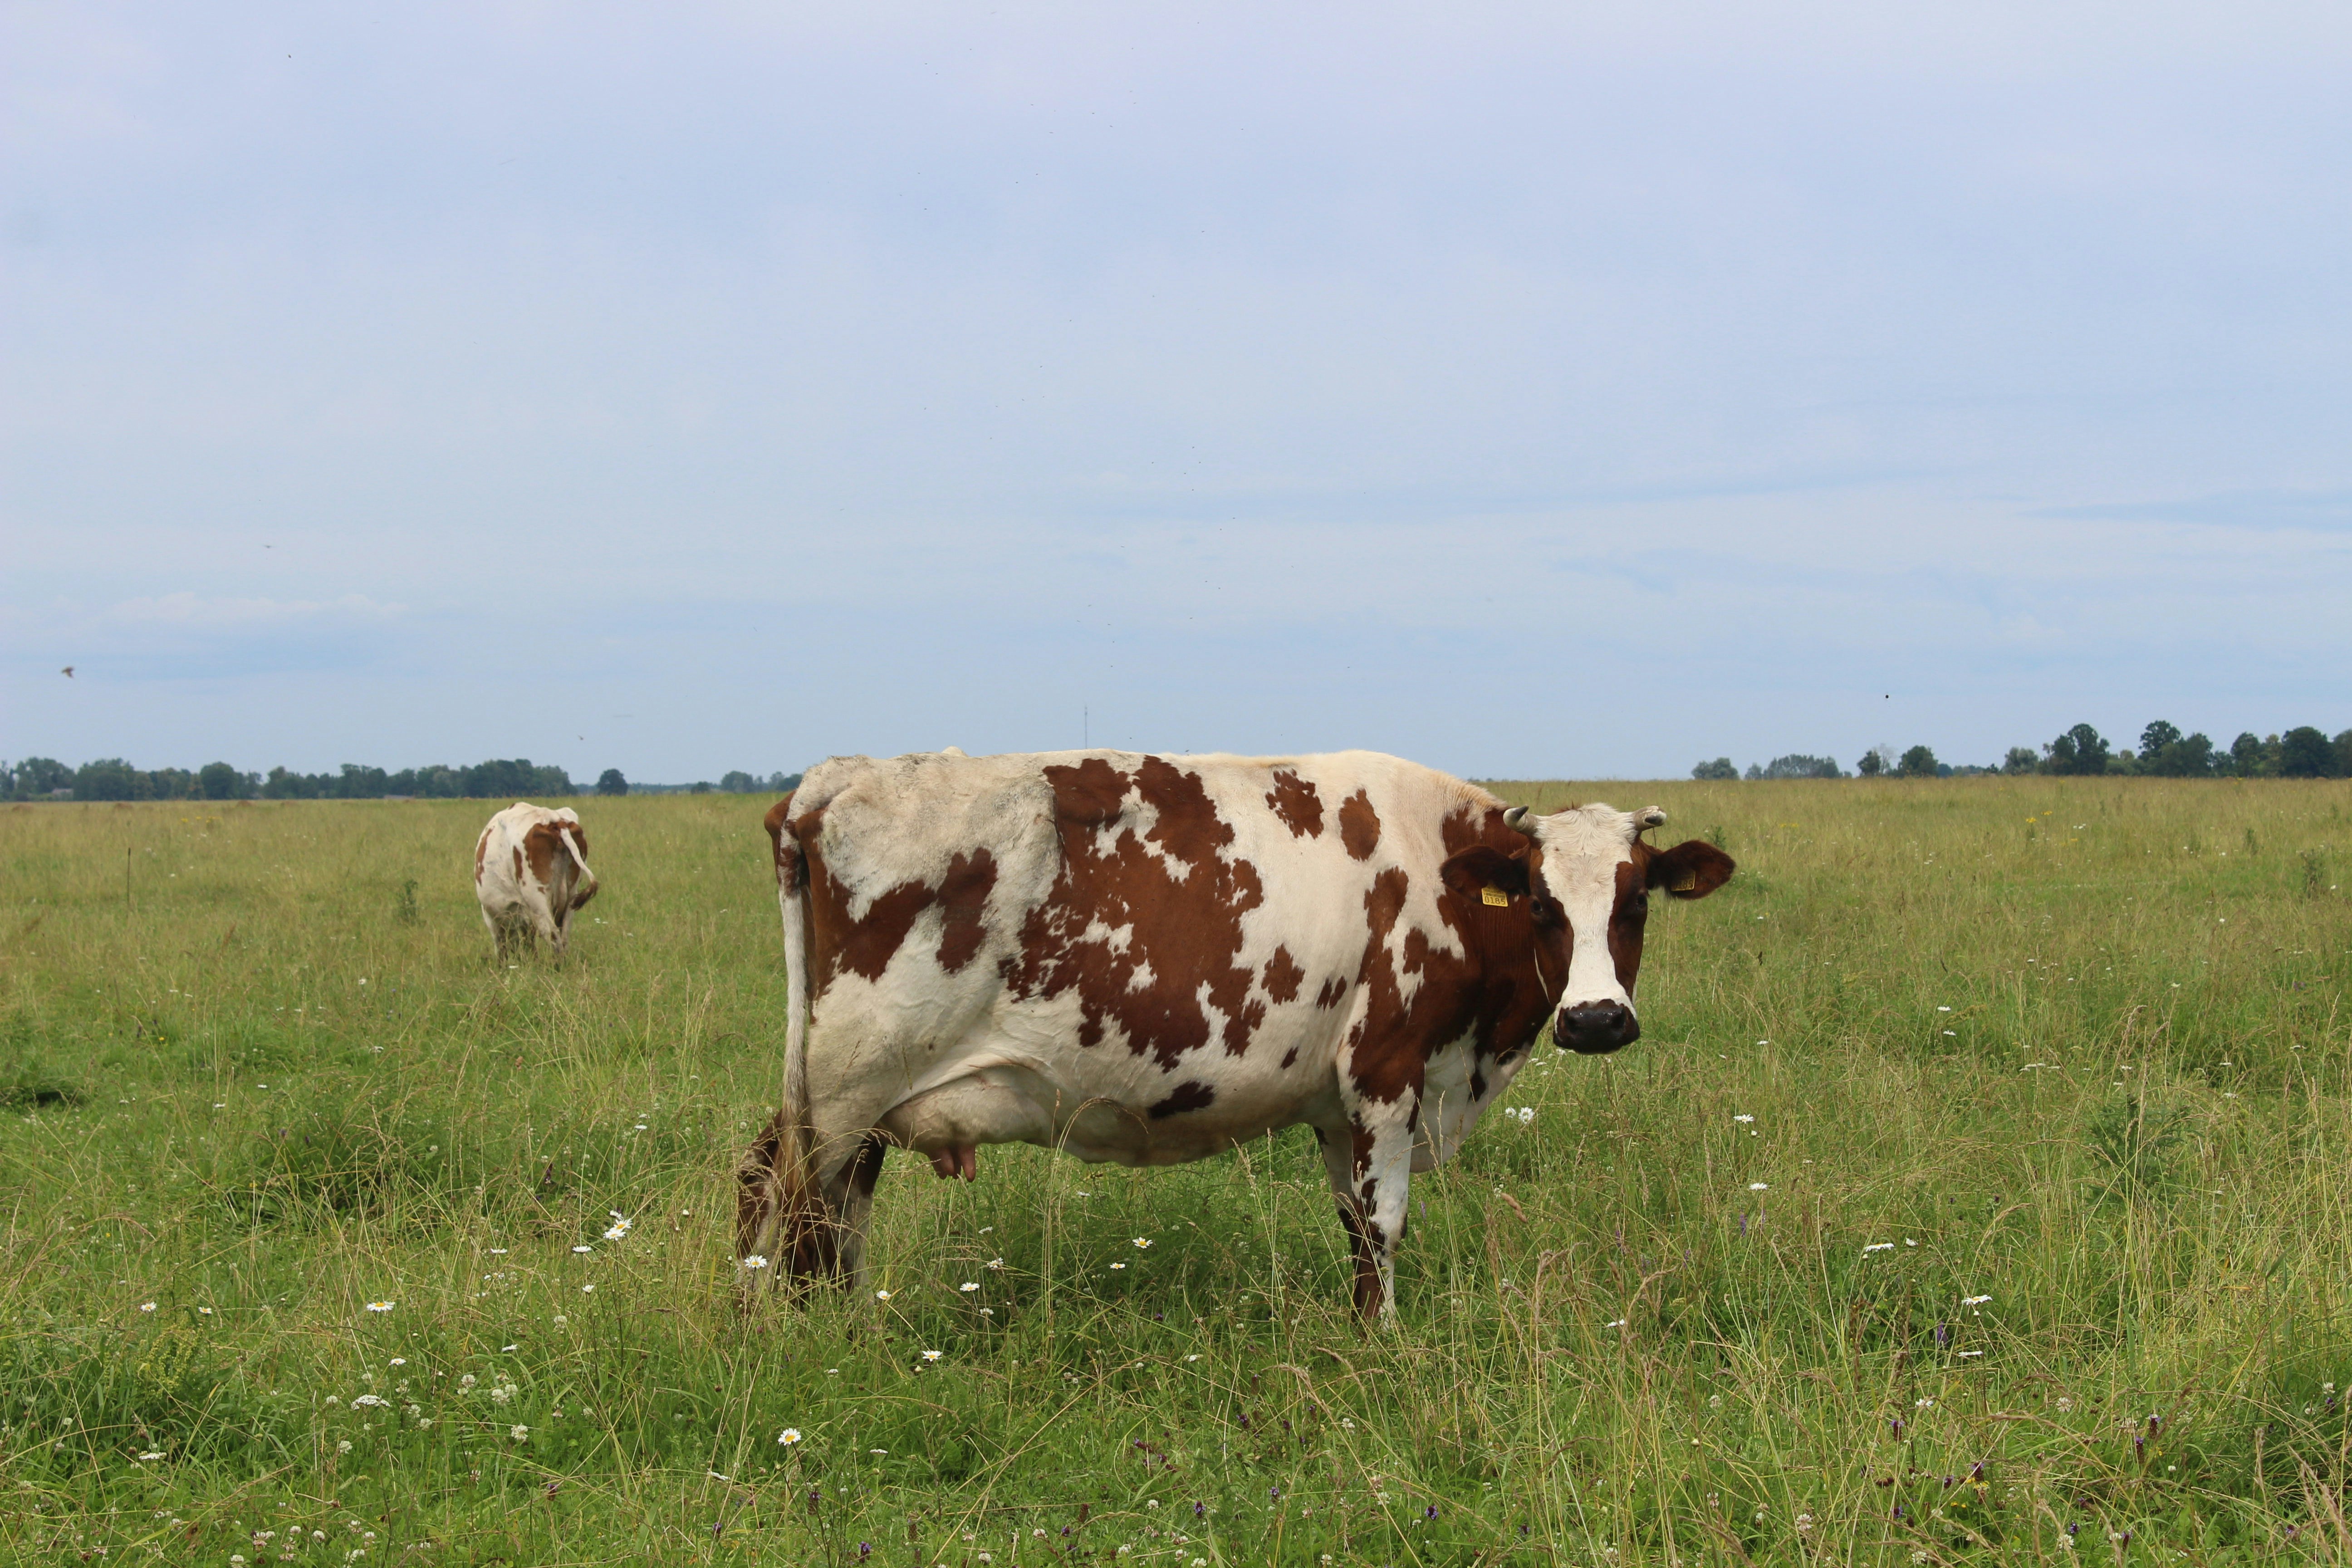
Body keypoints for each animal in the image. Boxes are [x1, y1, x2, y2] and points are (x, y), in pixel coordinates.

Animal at [473, 802, 598, 958]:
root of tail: (554, 820)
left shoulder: (492, 916)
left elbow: (502, 949)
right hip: (571, 896)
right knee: (564, 937)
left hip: (537, 897)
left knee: (552, 935)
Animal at [737, 749, 1733, 1319]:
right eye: (1539, 904)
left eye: (1636, 902)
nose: (1595, 1019)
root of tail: (833, 779)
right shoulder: (1387, 1072)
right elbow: (1385, 1221)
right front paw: (1389, 1345)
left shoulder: (1339, 1106)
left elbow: (1354, 1223)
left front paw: (1363, 1331)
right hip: (848, 1084)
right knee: (803, 1209)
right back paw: (822, 1341)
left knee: (795, 1192)